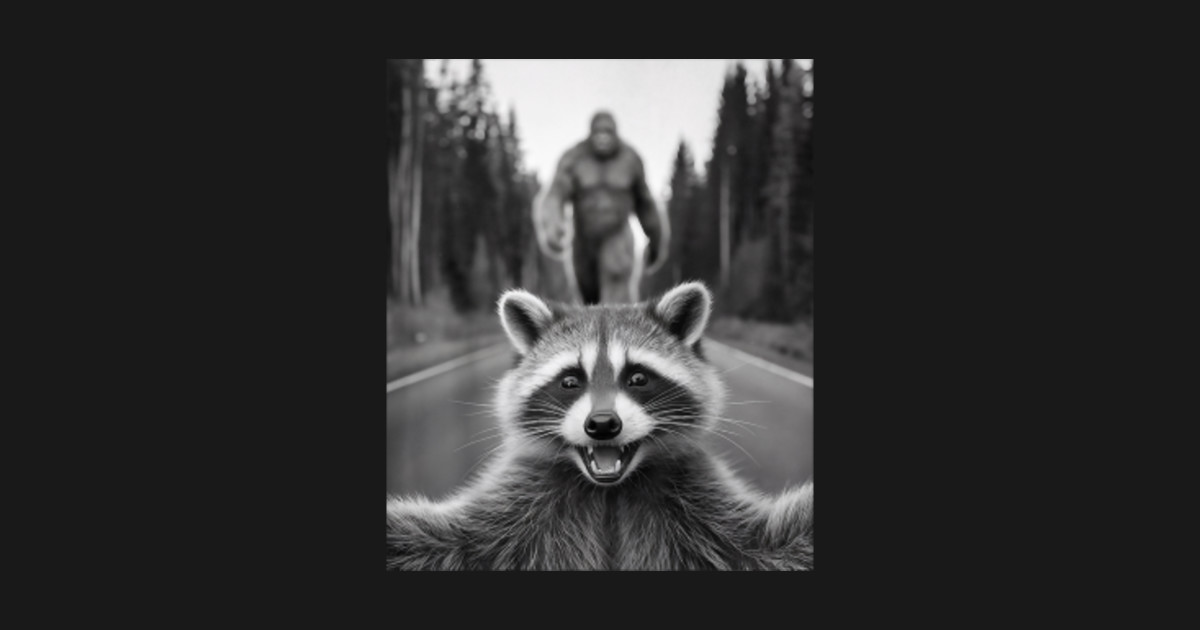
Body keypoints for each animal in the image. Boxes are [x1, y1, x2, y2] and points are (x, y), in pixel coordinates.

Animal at [386, 282, 813, 570]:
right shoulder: (517, 507)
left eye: (638, 378)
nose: (603, 424)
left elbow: (771, 545)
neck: (610, 493)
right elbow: (441, 545)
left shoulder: (700, 506)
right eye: (570, 381)